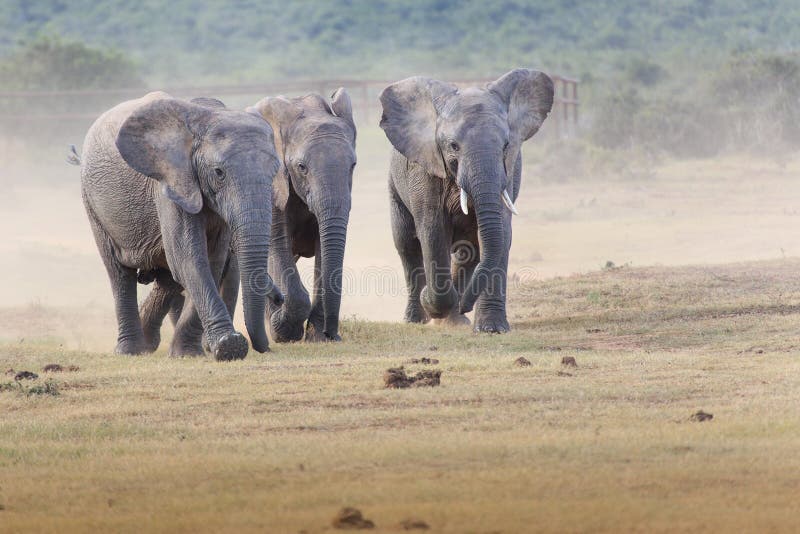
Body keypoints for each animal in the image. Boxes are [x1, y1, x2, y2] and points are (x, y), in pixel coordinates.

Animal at [77, 91, 283, 360]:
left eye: (275, 172)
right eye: (219, 173)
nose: (280, 300)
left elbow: (210, 261)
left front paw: (188, 354)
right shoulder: (171, 183)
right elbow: (189, 259)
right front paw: (230, 346)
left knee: (168, 278)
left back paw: (147, 341)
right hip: (93, 203)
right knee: (119, 272)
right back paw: (130, 350)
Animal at [138, 89, 356, 345]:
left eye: (353, 165)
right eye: (302, 167)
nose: (333, 334)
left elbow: (325, 247)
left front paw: (316, 337)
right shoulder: (274, 191)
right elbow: (278, 245)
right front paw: (283, 330)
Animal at [379, 68, 554, 333]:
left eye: (506, 145)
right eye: (453, 146)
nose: (465, 306)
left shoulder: (508, 171)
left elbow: (500, 232)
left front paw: (492, 330)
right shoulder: (425, 170)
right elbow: (432, 231)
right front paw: (430, 300)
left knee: (467, 251)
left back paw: (456, 319)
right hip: (394, 186)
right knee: (406, 243)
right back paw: (419, 318)